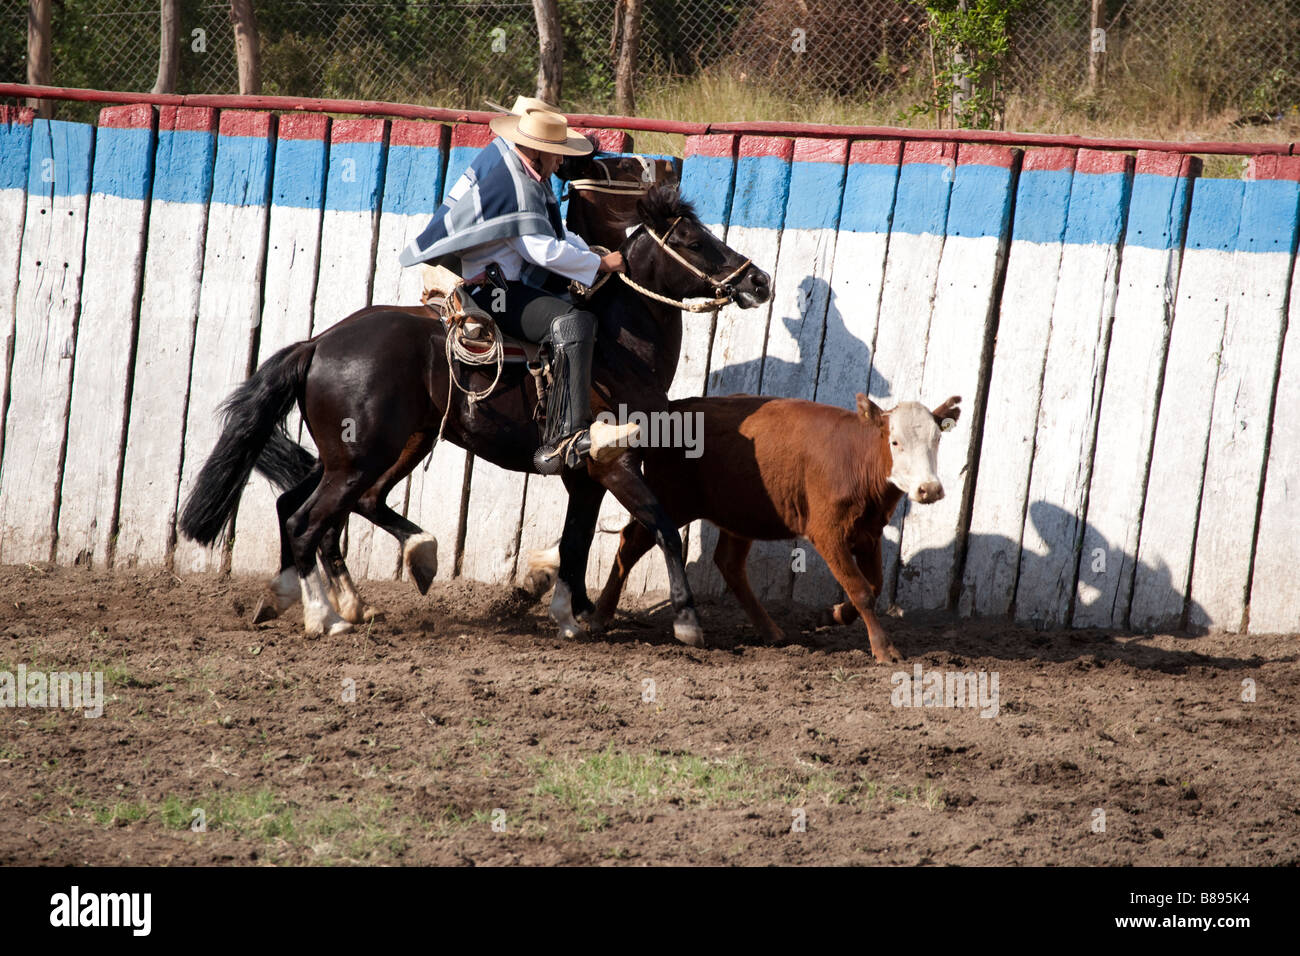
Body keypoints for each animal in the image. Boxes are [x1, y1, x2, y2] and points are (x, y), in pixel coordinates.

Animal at [178, 182, 771, 645]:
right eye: (693, 241)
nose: (757, 280)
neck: (616, 348)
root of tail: (320, 342)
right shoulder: (613, 465)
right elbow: (662, 526)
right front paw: (686, 620)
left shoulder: (583, 475)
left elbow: (575, 541)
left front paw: (569, 612)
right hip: (359, 458)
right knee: (309, 520)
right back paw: (328, 615)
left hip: (377, 451)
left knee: (318, 509)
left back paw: (335, 593)